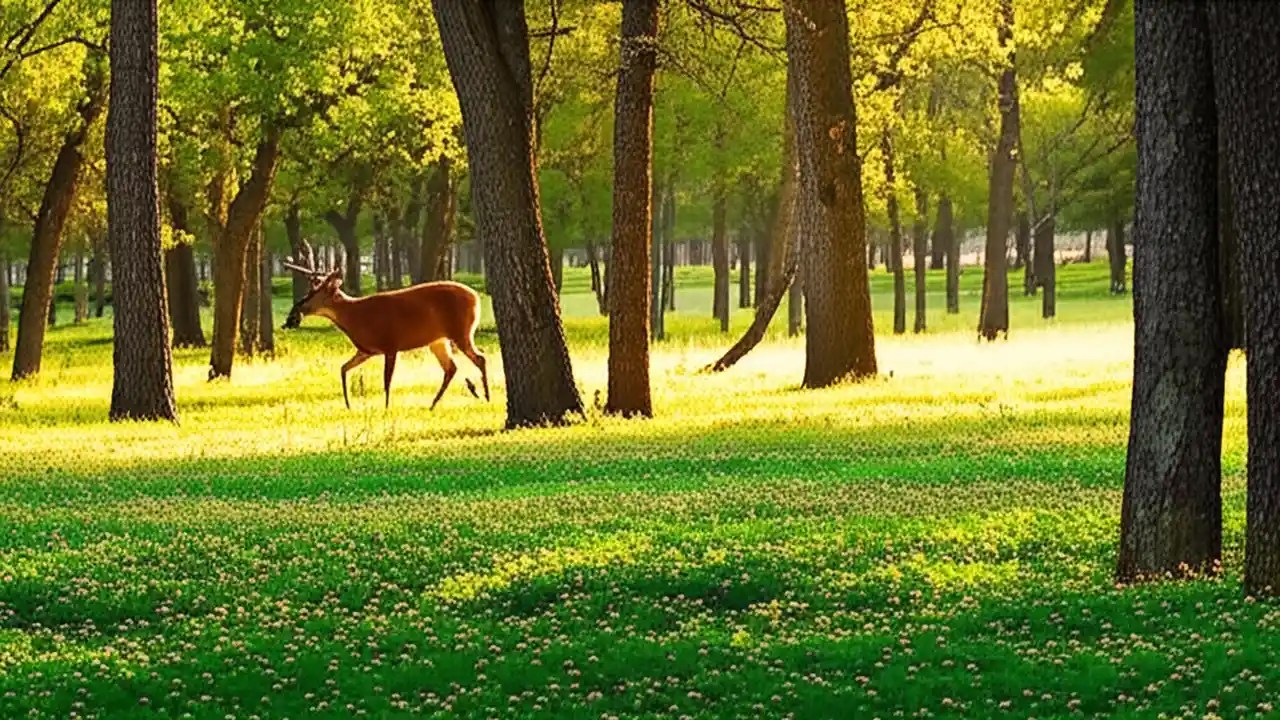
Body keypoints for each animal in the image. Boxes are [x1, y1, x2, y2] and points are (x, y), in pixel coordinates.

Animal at [280, 257, 490, 411]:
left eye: (312, 294)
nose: (294, 313)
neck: (354, 317)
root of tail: (477, 298)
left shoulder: (390, 343)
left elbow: (387, 380)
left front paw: (386, 407)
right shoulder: (366, 350)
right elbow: (343, 368)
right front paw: (348, 405)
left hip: (461, 330)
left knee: (479, 358)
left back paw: (486, 396)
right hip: (438, 340)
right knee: (451, 367)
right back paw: (433, 404)